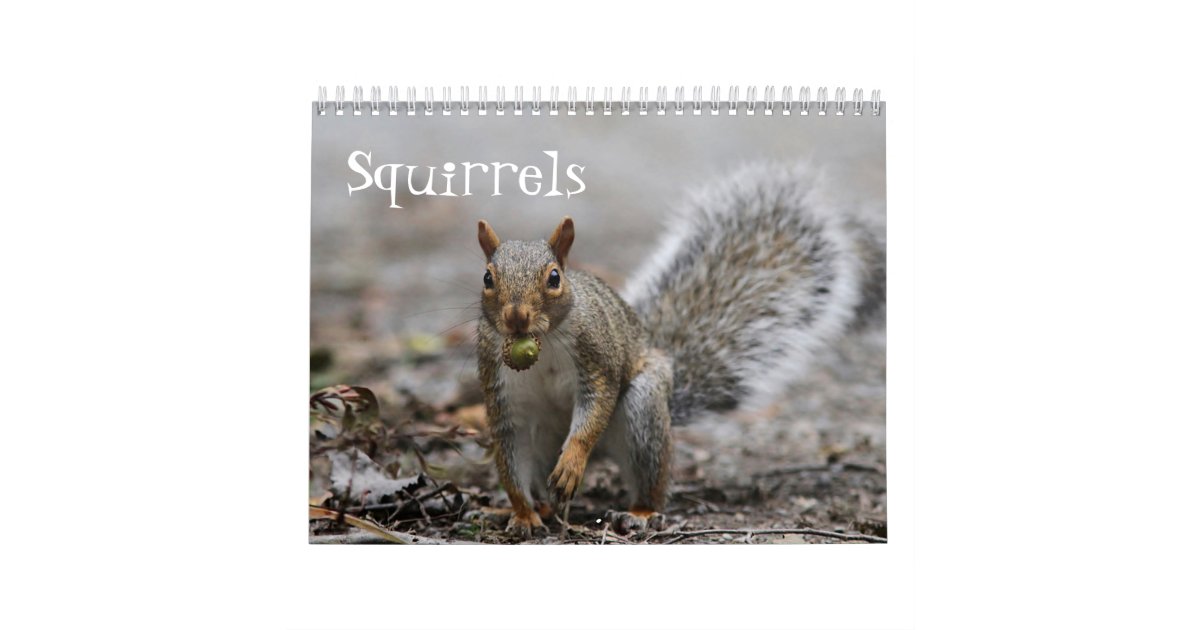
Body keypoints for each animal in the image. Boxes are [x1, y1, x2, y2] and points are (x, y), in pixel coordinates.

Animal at [474, 162, 885, 536]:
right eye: (487, 278)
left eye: (555, 278)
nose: (516, 317)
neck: (543, 345)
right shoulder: (501, 390)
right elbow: (510, 458)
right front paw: (522, 514)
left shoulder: (597, 356)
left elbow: (597, 404)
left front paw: (573, 460)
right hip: (543, 437)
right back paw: (539, 507)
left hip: (644, 408)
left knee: (652, 481)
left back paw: (639, 512)